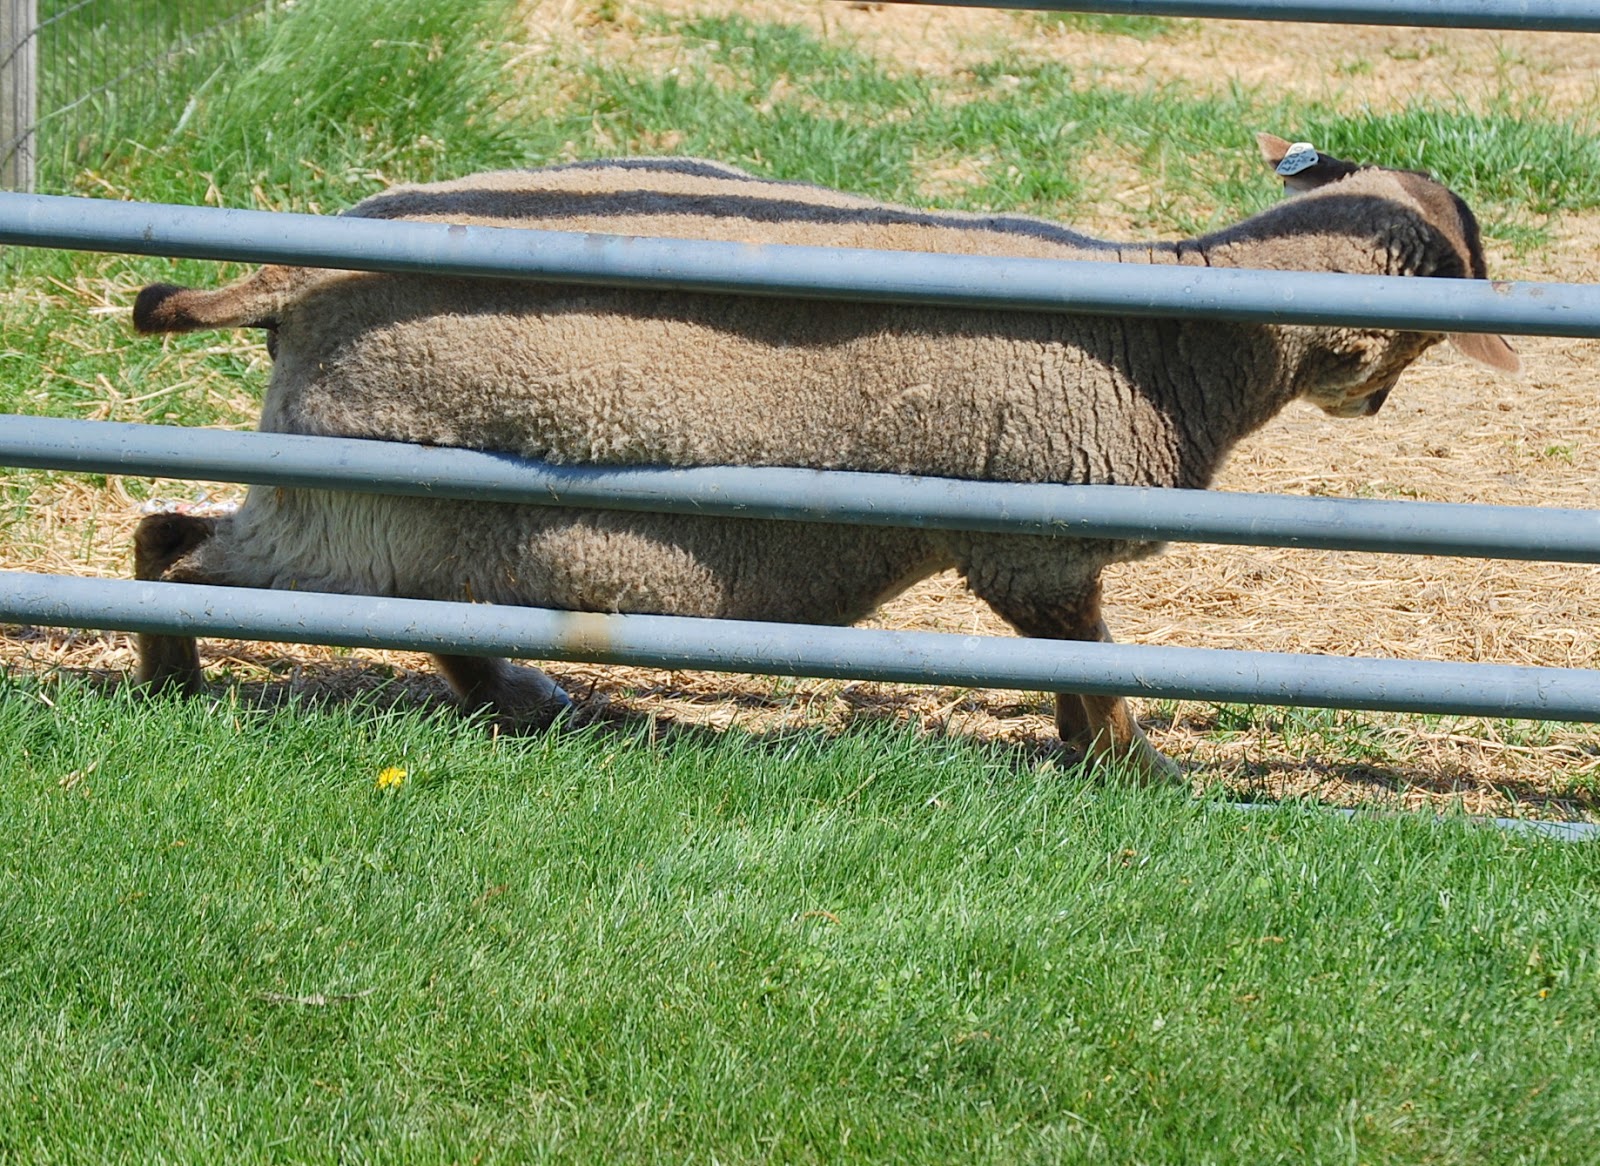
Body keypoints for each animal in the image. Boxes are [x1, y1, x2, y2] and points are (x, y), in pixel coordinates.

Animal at [128, 136, 1519, 782]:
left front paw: (1094, 759)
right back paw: (172, 682)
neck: (1174, 325)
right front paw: (1134, 769)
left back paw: (521, 694)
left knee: (339, 587)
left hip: (403, 507)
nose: (1377, 411)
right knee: (175, 549)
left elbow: (1074, 668)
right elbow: (1092, 668)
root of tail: (293, 277)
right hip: (363, 491)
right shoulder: (1039, 539)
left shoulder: (1034, 549)